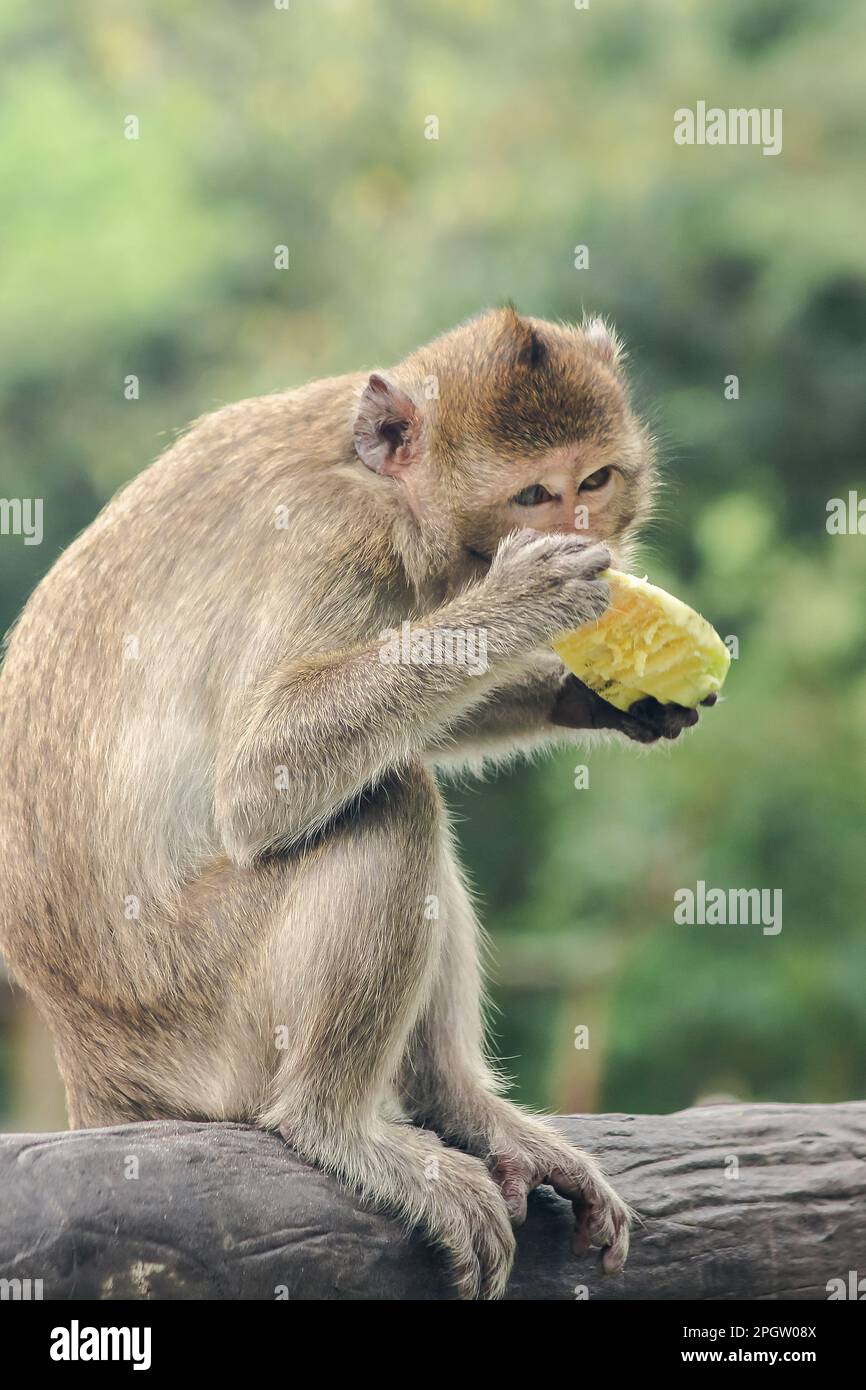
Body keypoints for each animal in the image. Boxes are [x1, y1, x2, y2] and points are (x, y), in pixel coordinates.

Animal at [0, 308, 708, 1299]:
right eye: (534, 493)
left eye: (596, 479)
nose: (586, 530)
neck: (385, 489)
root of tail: (92, 1064)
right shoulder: (333, 541)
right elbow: (260, 777)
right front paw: (526, 601)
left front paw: (595, 691)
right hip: (206, 1013)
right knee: (391, 804)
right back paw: (335, 1126)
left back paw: (464, 1108)